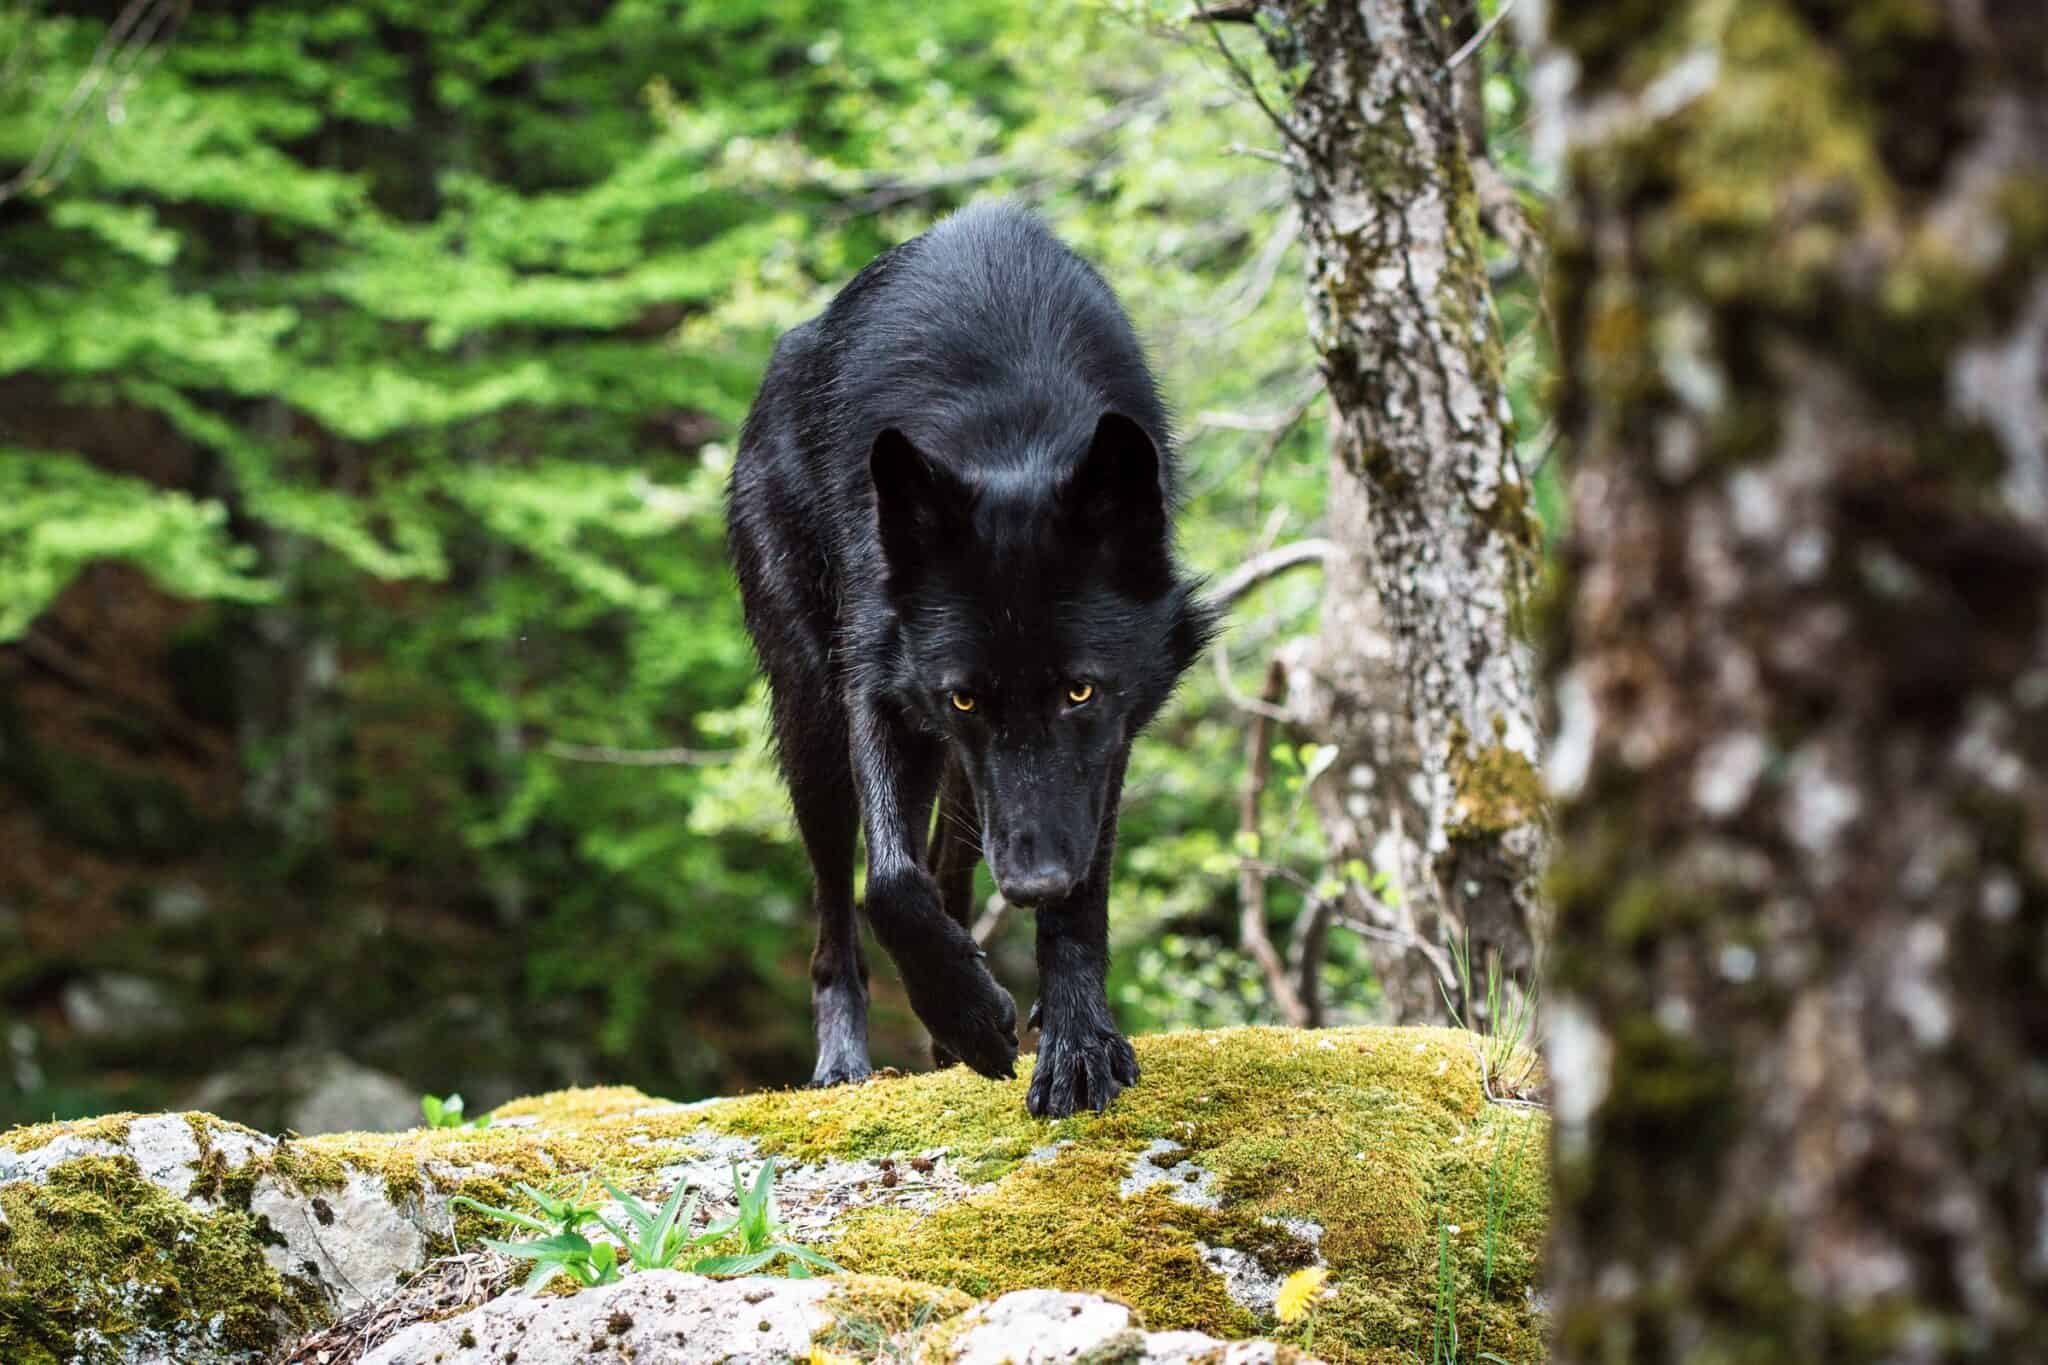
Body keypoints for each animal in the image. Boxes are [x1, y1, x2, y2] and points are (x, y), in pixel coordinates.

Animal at [726, 202, 1215, 1118]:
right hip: (812, 722)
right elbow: (888, 882)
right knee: (837, 913)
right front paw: (967, 1010)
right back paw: (848, 1057)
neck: (1011, 432)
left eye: (1078, 690)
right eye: (964, 698)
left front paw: (1078, 1041)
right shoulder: (883, 688)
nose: (1032, 882)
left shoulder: (1112, 731)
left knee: (950, 858)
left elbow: (1082, 903)